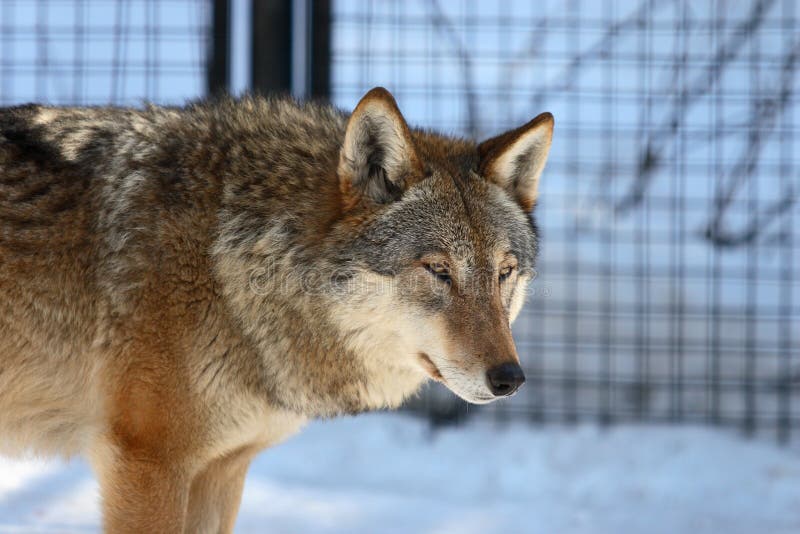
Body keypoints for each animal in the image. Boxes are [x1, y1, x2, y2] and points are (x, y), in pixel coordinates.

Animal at [0, 87, 553, 532]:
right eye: (438, 269)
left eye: (504, 272)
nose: (509, 378)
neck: (225, 258)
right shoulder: (148, 463)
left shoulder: (221, 469)